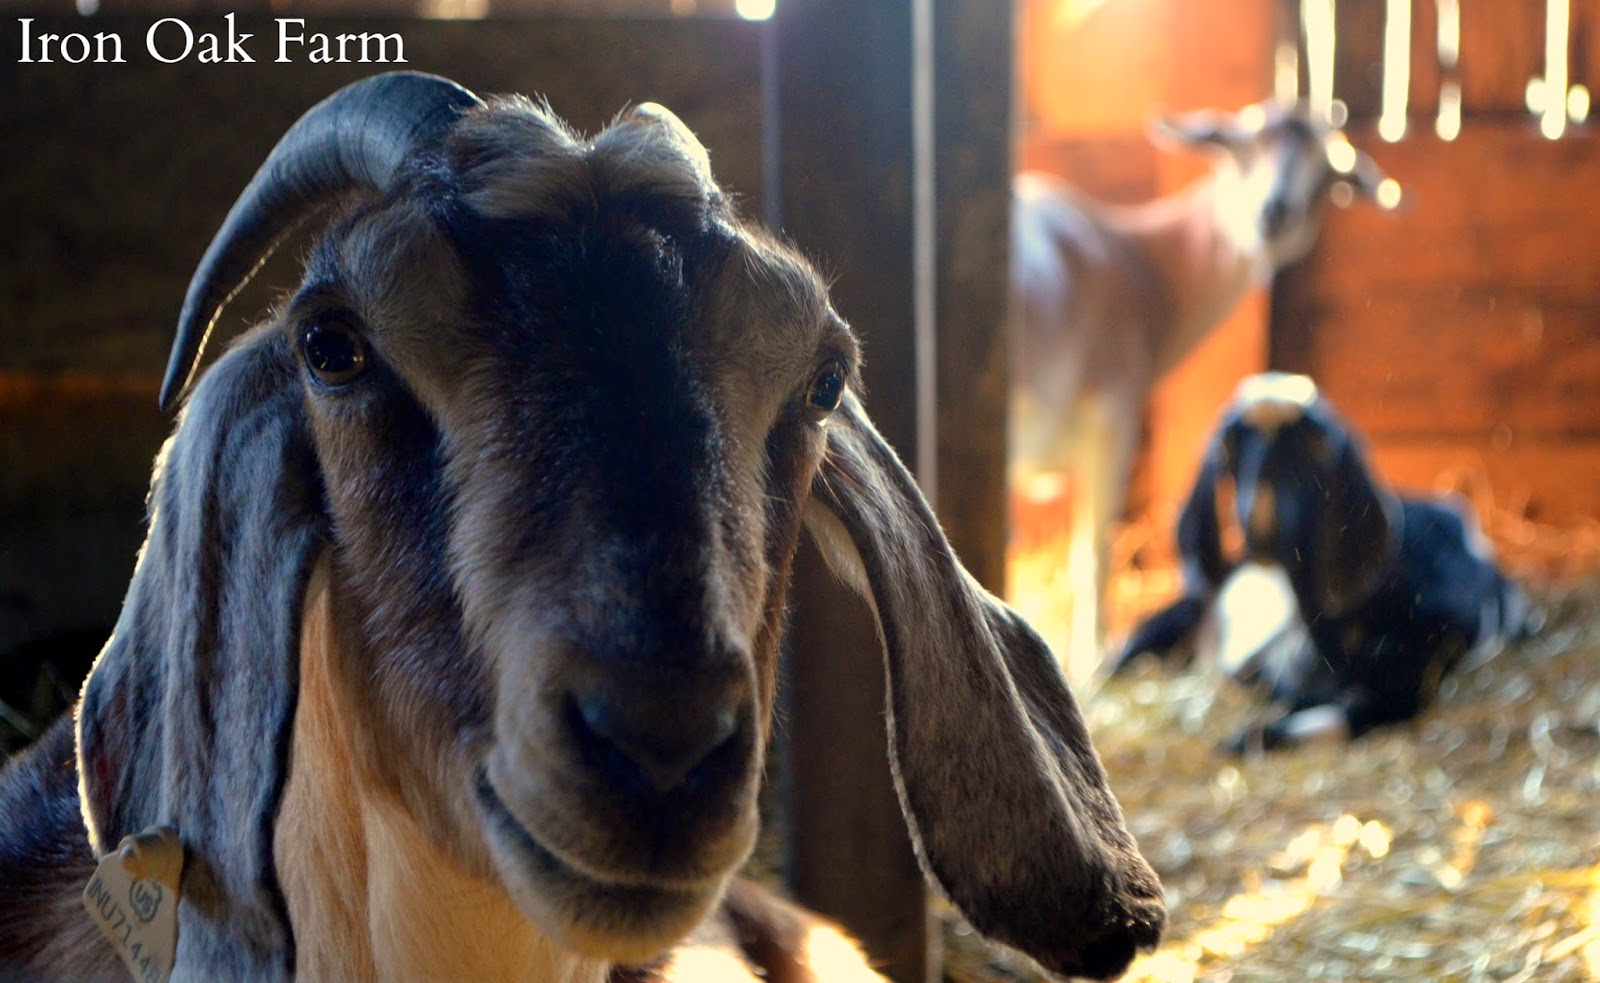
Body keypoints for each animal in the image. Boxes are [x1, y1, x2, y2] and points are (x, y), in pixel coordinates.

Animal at [1009, 101, 1395, 678]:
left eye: (1324, 175)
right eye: (1247, 148)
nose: (1274, 212)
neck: (1142, 267)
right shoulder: (1111, 416)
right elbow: (1093, 556)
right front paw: (1091, 662)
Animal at [1110, 373, 1540, 753]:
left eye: (1316, 450)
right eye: (1231, 448)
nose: (1262, 527)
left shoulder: (1410, 678)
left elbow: (1343, 716)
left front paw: (1248, 737)